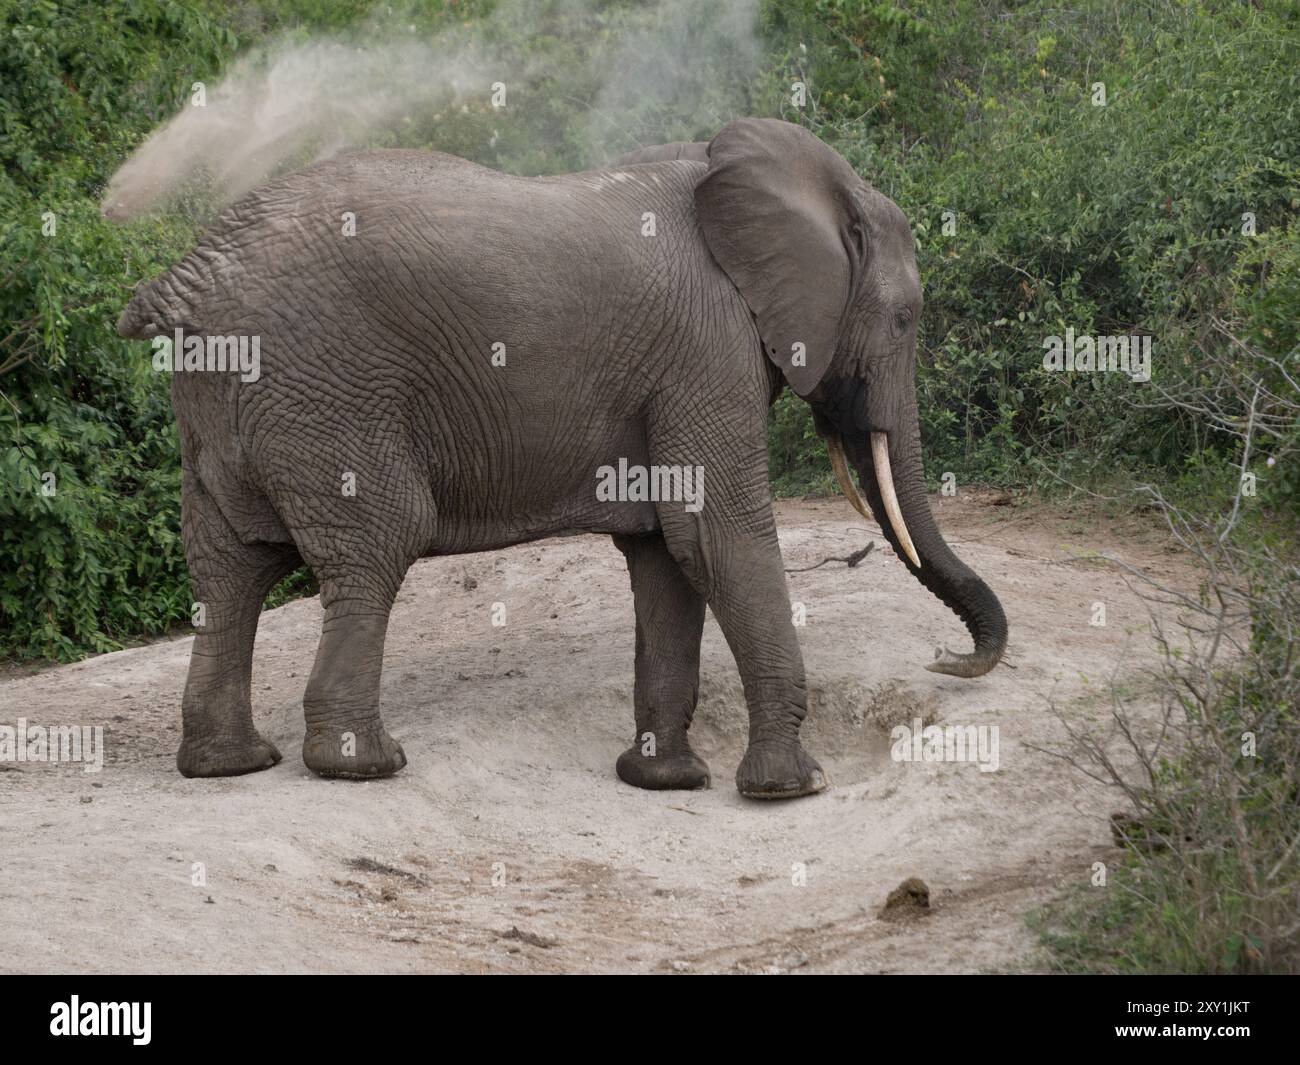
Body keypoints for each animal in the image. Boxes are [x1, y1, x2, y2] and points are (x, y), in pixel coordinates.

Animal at [115, 117, 1007, 799]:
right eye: (904, 320)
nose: (945, 654)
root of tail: (186, 278)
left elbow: (665, 554)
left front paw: (664, 780)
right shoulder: (706, 347)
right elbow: (715, 534)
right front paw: (791, 787)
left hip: (225, 402)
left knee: (230, 565)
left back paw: (229, 764)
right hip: (326, 388)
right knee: (377, 540)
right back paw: (364, 765)